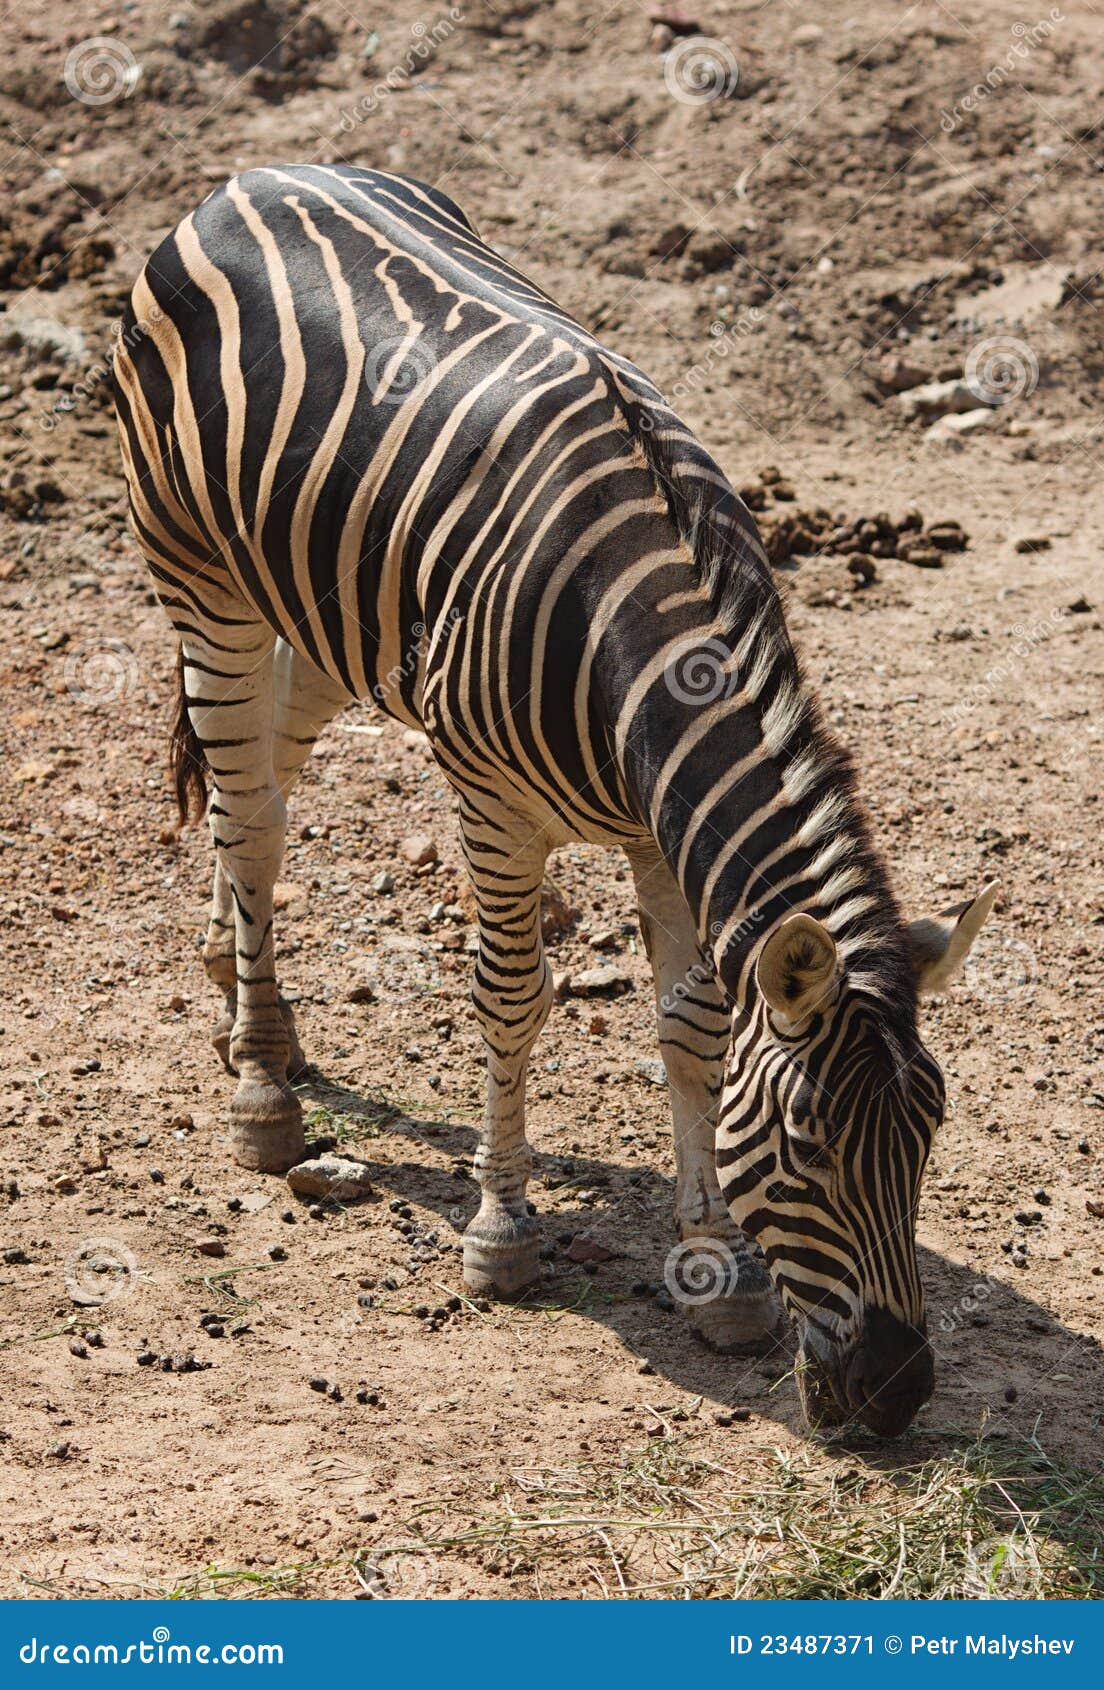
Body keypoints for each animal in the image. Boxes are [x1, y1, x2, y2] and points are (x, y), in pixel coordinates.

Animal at [113, 165, 996, 1435]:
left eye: (929, 1134)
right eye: (807, 1147)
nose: (897, 1396)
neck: (641, 642)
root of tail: (257, 177)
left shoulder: (664, 832)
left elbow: (693, 1027)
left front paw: (717, 1267)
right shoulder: (491, 804)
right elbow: (511, 1001)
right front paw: (502, 1233)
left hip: (331, 615)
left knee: (267, 775)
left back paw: (235, 991)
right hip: (203, 584)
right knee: (251, 816)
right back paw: (263, 1086)